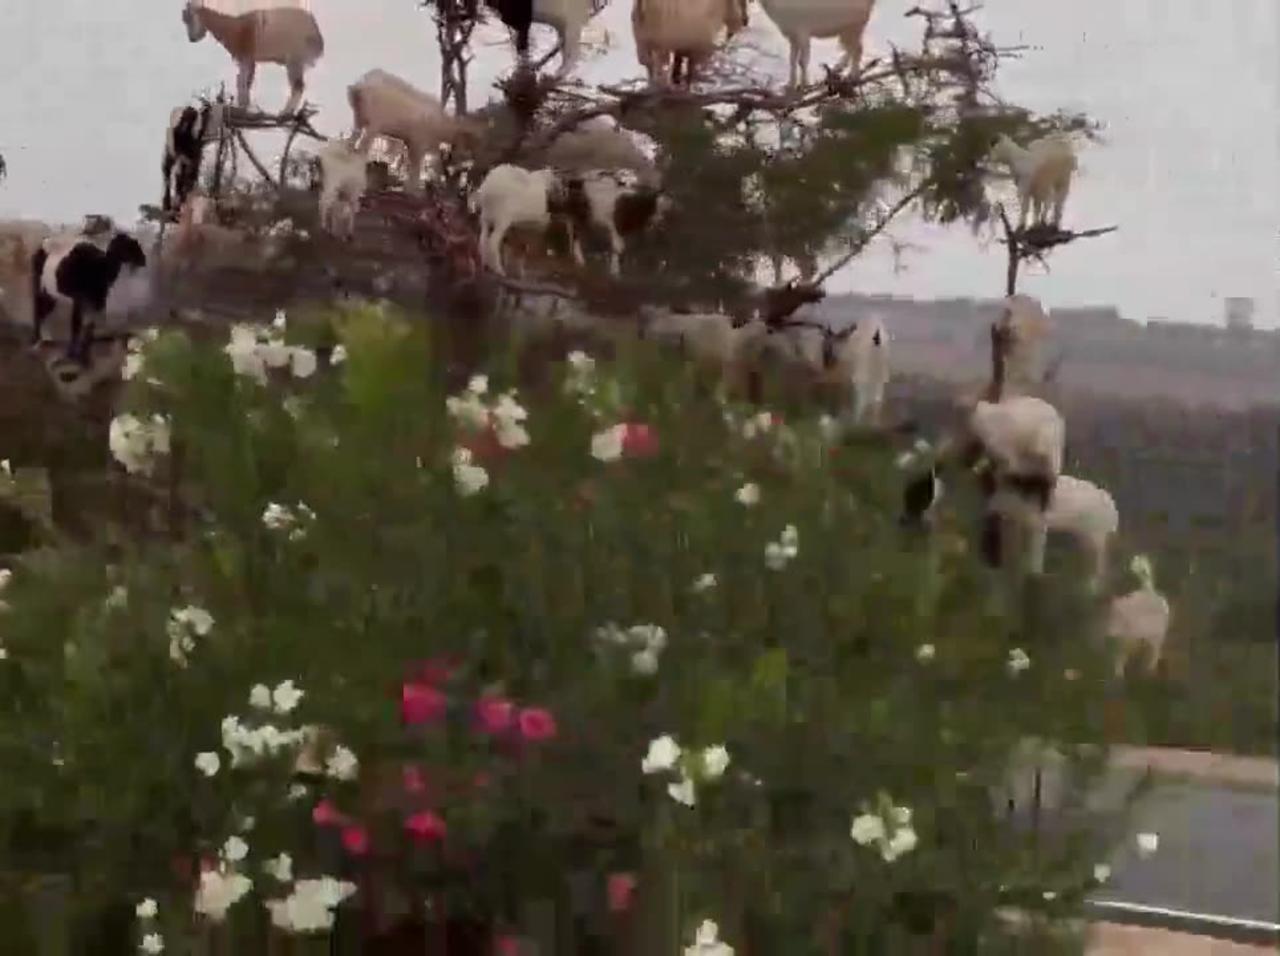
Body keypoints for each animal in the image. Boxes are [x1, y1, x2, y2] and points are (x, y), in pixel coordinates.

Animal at [31, 231, 151, 365]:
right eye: (129, 245)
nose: (143, 260)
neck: (99, 268)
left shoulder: (98, 304)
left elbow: (89, 328)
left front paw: (85, 359)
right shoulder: (78, 300)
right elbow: (76, 326)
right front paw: (72, 355)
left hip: (51, 293)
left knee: (44, 309)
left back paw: (46, 338)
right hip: (39, 286)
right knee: (38, 310)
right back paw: (37, 341)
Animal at [180, 1, 324, 117]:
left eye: (191, 17)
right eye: (184, 19)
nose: (192, 38)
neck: (234, 27)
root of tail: (316, 33)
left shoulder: (245, 59)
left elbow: (241, 82)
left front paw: (241, 108)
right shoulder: (250, 62)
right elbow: (246, 82)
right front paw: (244, 107)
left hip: (294, 61)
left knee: (298, 86)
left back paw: (285, 113)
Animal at [346, 69, 483, 194]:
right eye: (472, 141)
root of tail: (359, 85)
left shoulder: (414, 140)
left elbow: (418, 160)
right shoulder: (420, 138)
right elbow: (418, 160)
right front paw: (414, 190)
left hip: (359, 115)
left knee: (354, 139)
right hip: (374, 117)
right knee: (363, 145)